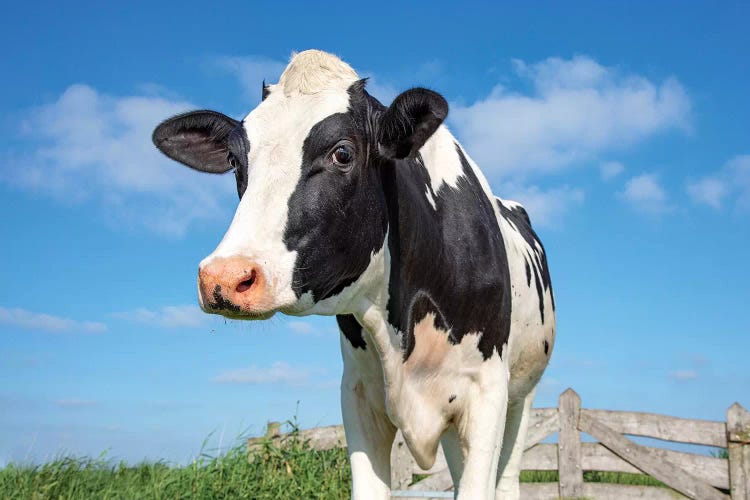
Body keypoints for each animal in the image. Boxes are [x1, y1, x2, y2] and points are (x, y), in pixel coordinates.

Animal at [152, 50, 555, 500]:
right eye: (235, 161)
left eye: (342, 153)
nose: (224, 277)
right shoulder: (358, 395)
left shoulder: (487, 392)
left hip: (522, 397)